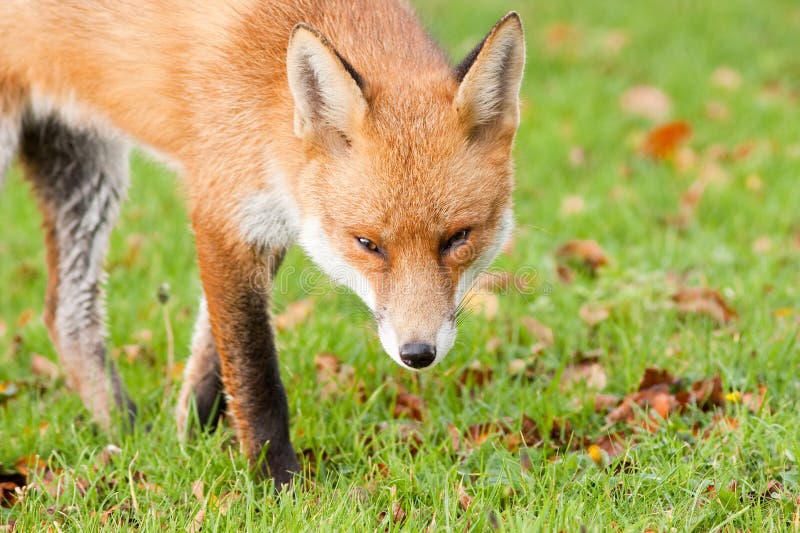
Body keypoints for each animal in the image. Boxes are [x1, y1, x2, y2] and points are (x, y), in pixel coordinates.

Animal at [0, 0, 525, 487]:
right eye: (367, 243)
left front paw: (187, 444)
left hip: (84, 166)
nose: (418, 354)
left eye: (457, 238)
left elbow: (210, 362)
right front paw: (277, 484)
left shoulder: (265, 222)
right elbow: (255, 376)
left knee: (65, 315)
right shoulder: (222, 212)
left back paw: (124, 433)